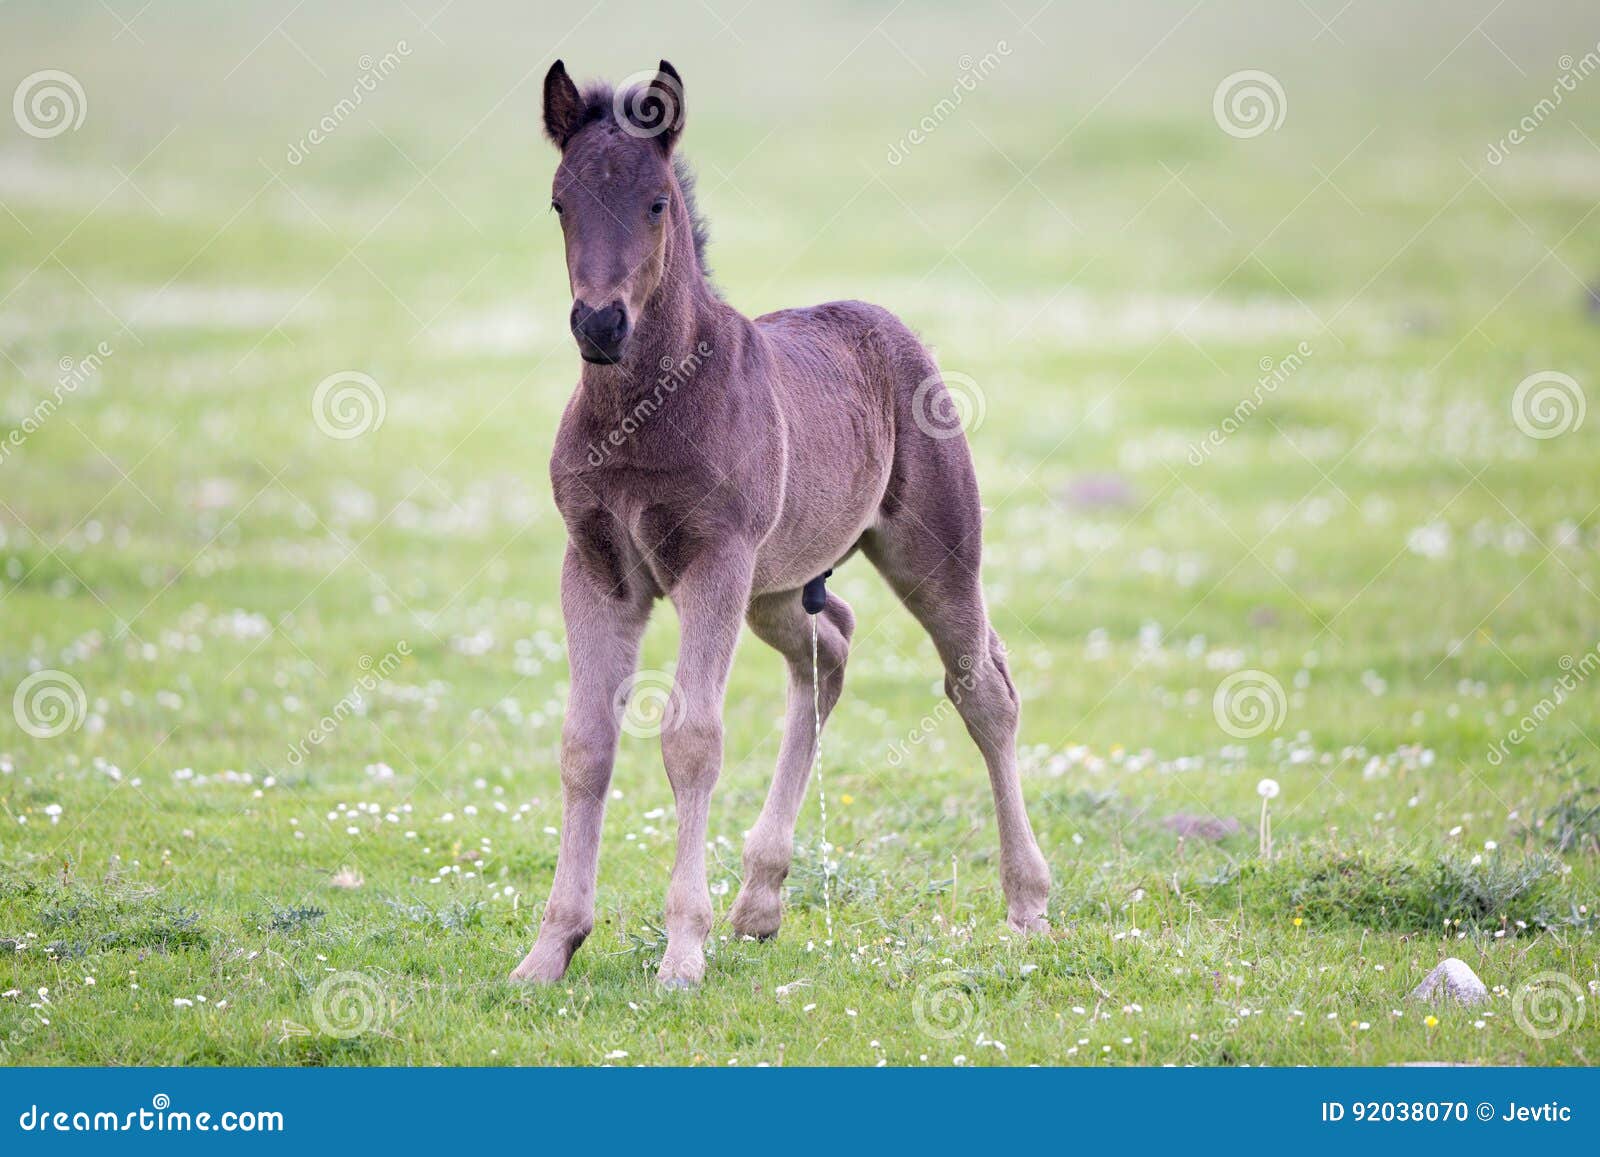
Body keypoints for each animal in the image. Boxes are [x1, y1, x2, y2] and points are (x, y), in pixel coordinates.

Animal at [511, 60, 1051, 988]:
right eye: (558, 202)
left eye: (656, 202)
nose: (600, 323)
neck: (643, 408)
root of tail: (888, 323)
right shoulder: (597, 566)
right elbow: (586, 744)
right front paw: (550, 949)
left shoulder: (715, 560)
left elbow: (692, 737)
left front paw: (681, 953)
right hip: (778, 582)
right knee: (830, 645)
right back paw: (760, 897)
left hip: (931, 548)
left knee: (983, 687)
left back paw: (1028, 903)